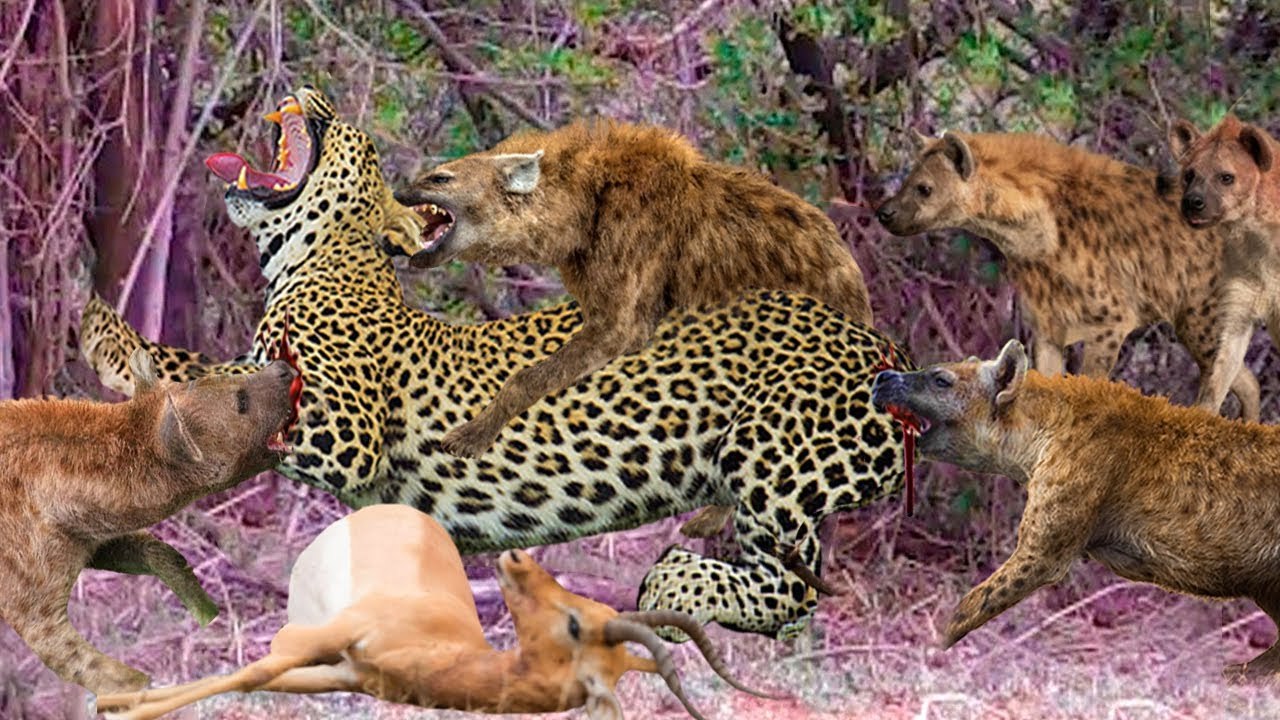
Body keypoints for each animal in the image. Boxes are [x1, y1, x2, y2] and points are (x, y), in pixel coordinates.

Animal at [79, 85, 915, 640]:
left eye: (355, 137)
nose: (308, 91)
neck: (308, 261)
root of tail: (885, 346)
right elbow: (206, 363)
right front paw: (114, 344)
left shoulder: (346, 431)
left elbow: (211, 377)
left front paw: (117, 352)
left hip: (770, 452)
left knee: (793, 584)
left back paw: (675, 582)